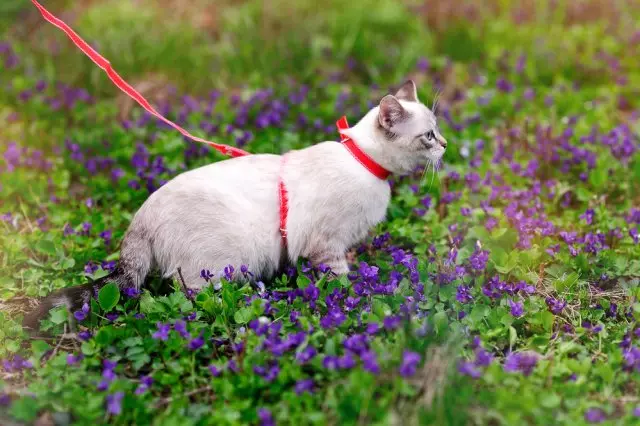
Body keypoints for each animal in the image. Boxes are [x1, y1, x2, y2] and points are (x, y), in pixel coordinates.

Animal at [22, 80, 448, 330]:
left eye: (437, 130)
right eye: (428, 136)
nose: (445, 144)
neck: (366, 164)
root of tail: (140, 220)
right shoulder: (326, 244)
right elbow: (341, 279)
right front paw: (355, 298)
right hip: (222, 262)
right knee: (190, 297)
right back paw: (249, 301)